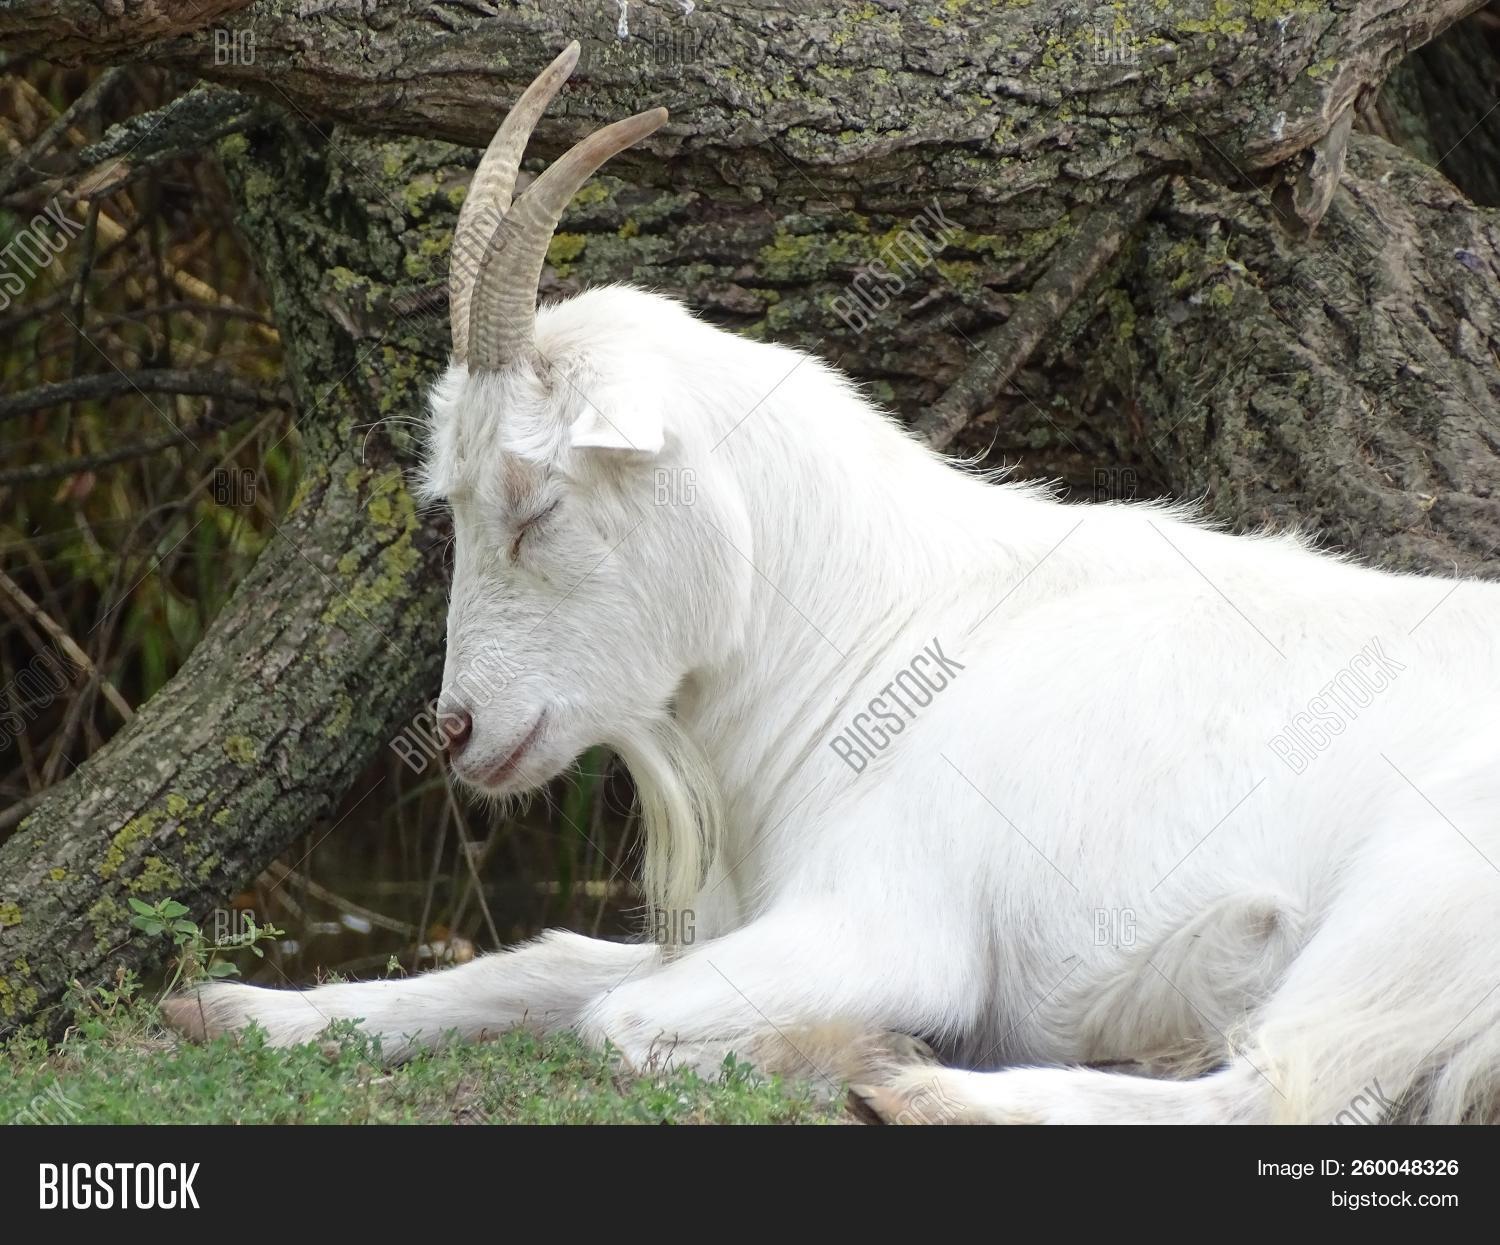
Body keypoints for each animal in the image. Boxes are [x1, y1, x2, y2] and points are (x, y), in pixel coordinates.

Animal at [167, 44, 1500, 1124]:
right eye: (450, 501)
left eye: (535, 504)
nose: (458, 731)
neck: (881, 625)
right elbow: (543, 962)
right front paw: (243, 1010)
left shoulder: (885, 924)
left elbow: (620, 1026)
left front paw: (850, 1048)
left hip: (1413, 901)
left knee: (1280, 1087)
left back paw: (919, 1089)